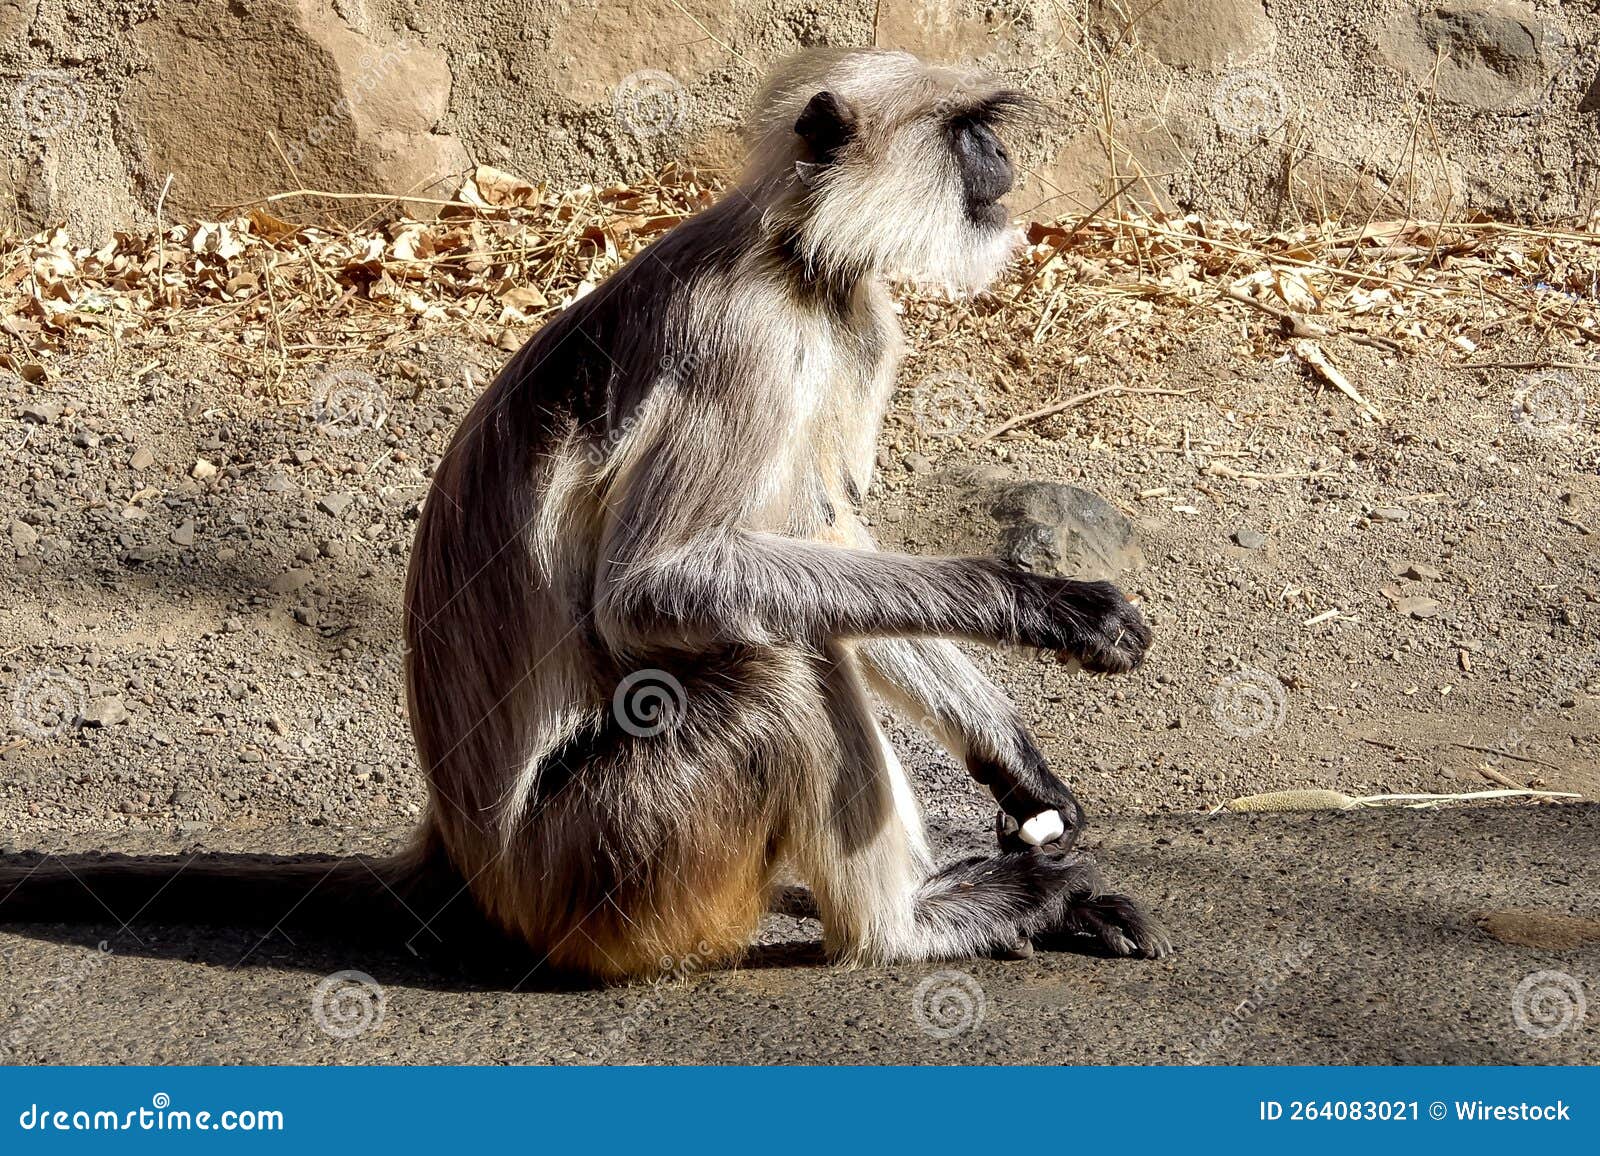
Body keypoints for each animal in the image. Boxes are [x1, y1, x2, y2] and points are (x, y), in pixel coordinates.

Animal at [0, 48, 1168, 980]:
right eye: (967, 132)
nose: (1001, 162)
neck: (797, 261)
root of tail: (462, 856)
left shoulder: (851, 327)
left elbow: (825, 540)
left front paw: (1014, 759)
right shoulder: (746, 339)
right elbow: (654, 586)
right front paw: (1043, 602)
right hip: (601, 859)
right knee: (779, 673)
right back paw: (906, 930)